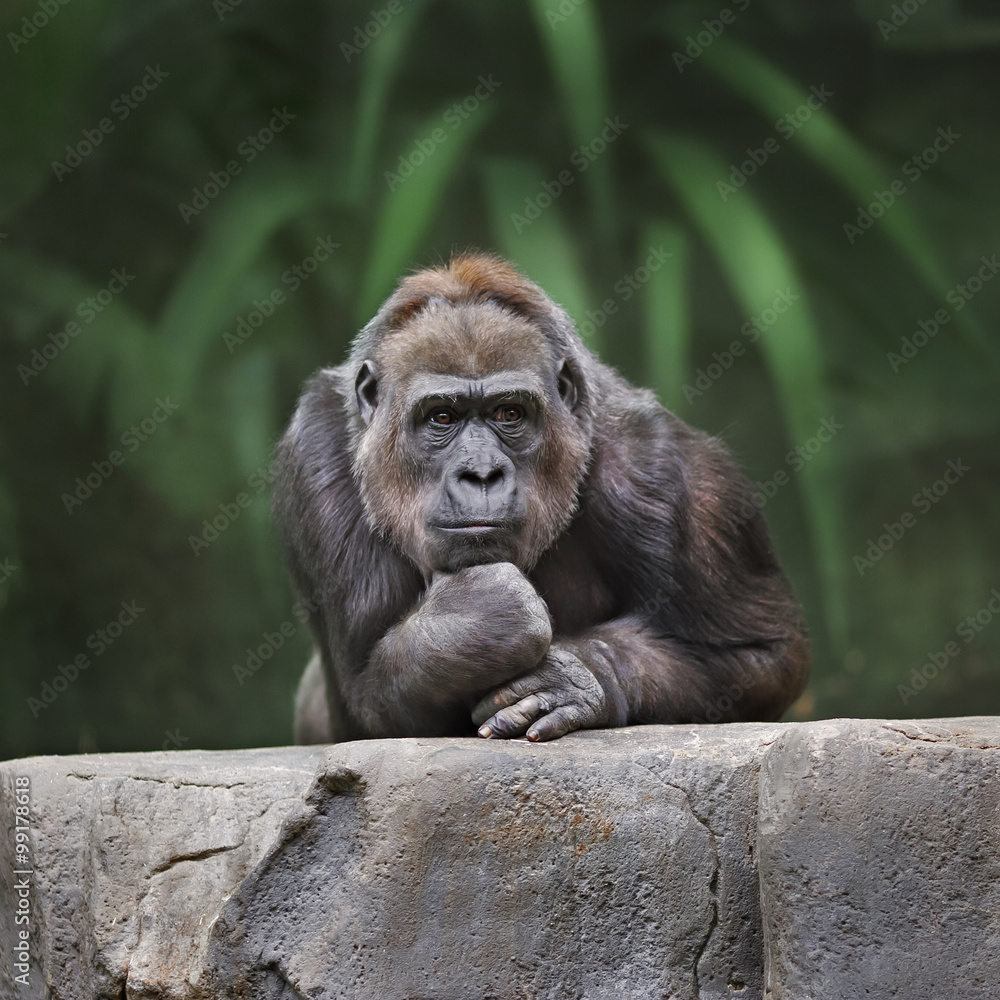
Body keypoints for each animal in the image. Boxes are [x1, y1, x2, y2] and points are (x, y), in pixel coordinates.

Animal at [273, 252, 808, 743]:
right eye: (441, 417)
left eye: (509, 413)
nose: (481, 474)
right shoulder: (314, 444)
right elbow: (366, 698)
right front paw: (475, 619)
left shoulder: (666, 470)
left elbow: (758, 656)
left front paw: (582, 675)